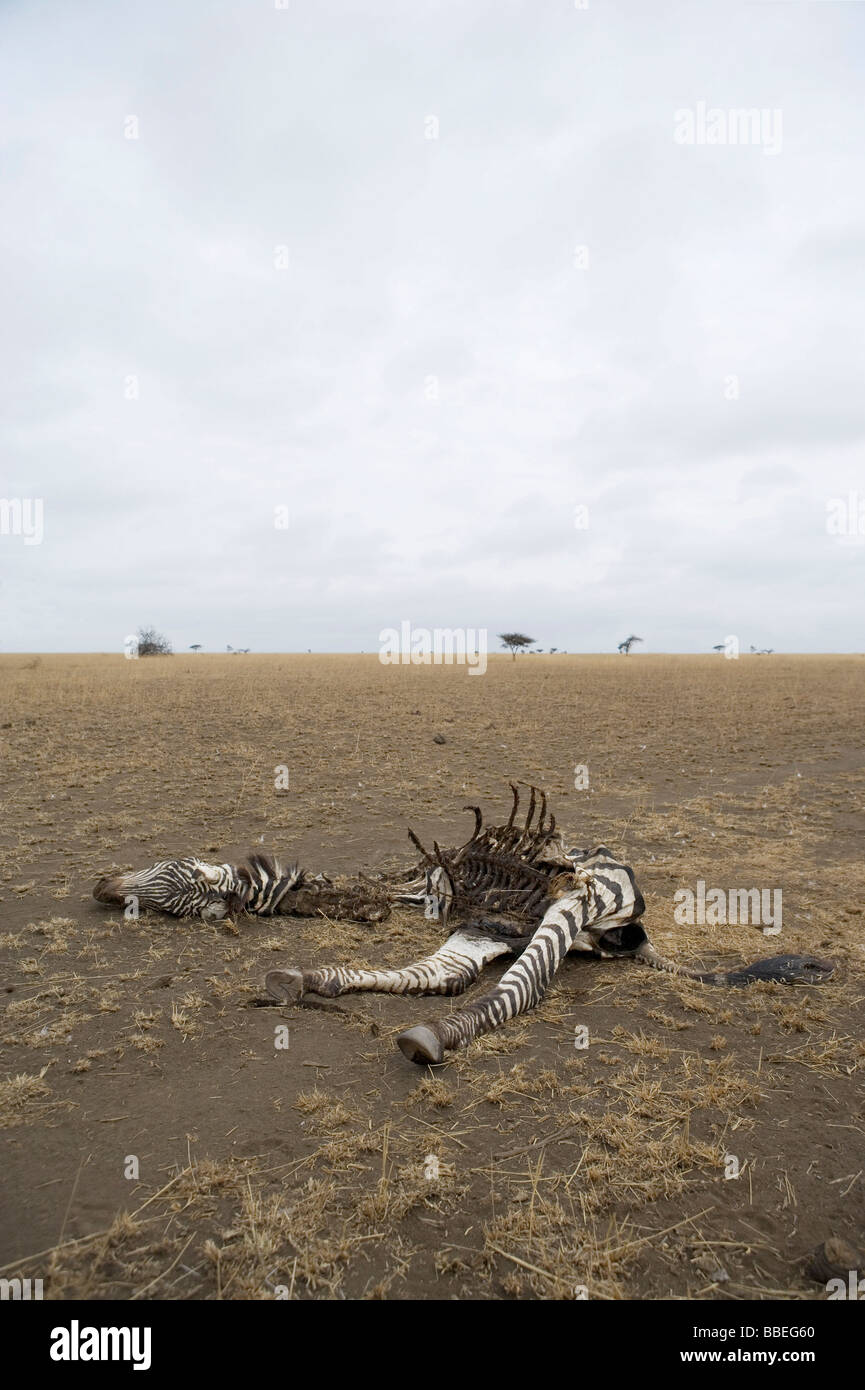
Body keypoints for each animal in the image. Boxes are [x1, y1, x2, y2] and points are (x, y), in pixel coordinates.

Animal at [93, 785, 835, 1065]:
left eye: (170, 878)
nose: (102, 887)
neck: (412, 883)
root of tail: (642, 923)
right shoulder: (472, 916)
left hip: (573, 903)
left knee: (520, 987)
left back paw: (428, 1039)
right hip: (497, 930)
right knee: (444, 979)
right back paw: (304, 980)